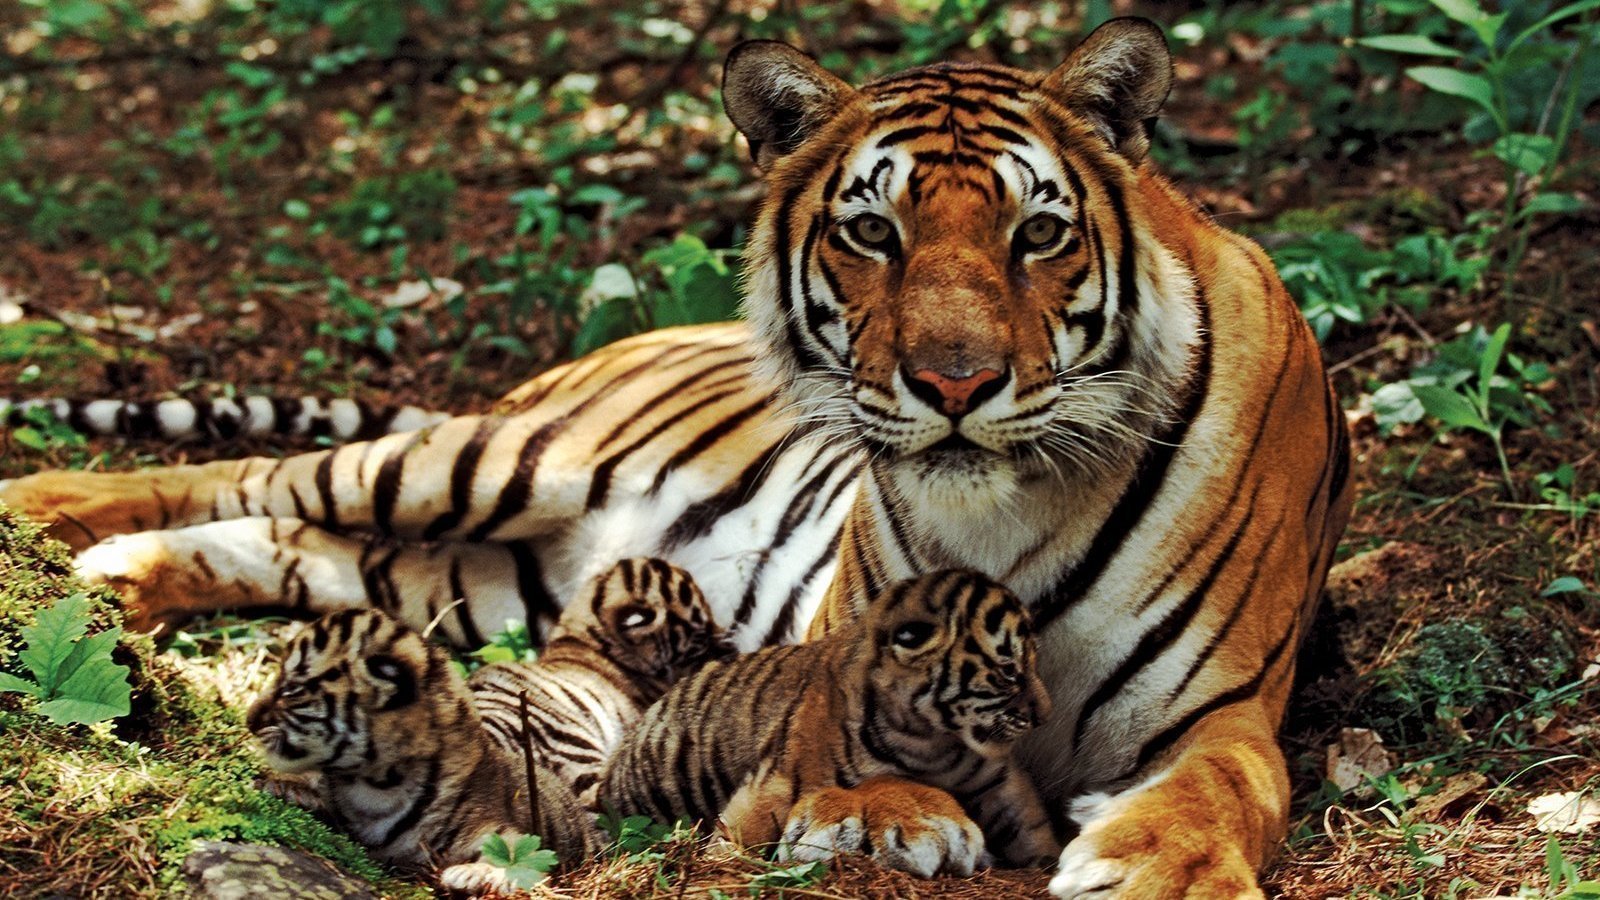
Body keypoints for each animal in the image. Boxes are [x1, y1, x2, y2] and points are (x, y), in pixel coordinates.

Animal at [247, 609, 606, 891]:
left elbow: (519, 859)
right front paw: (285, 786)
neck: (374, 785)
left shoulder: (503, 832)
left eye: (291, 690)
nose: (249, 720)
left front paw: (475, 875)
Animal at [599, 569, 1057, 874]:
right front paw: (724, 859)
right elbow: (745, 830)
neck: (935, 740)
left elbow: (1028, 823)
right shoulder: (774, 784)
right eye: (1009, 671)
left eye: (1033, 662)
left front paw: (1048, 863)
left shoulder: (999, 780)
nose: (1045, 715)